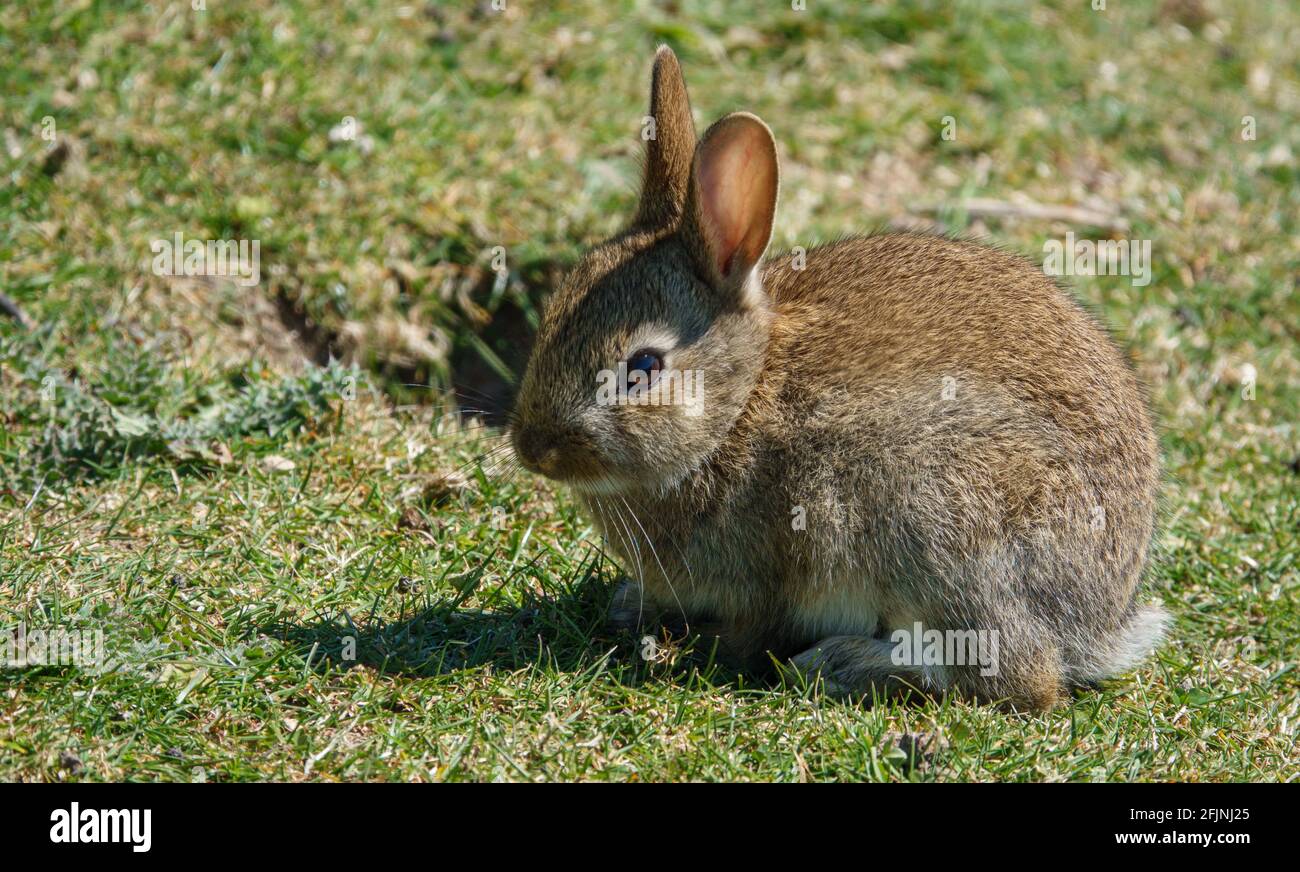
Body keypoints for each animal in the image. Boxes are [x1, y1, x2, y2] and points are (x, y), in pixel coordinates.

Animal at [508, 46, 1167, 711]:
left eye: (643, 367)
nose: (532, 448)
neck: (739, 408)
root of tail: (1097, 624)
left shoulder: (771, 570)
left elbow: (750, 626)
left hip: (947, 518)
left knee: (1013, 676)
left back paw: (839, 663)